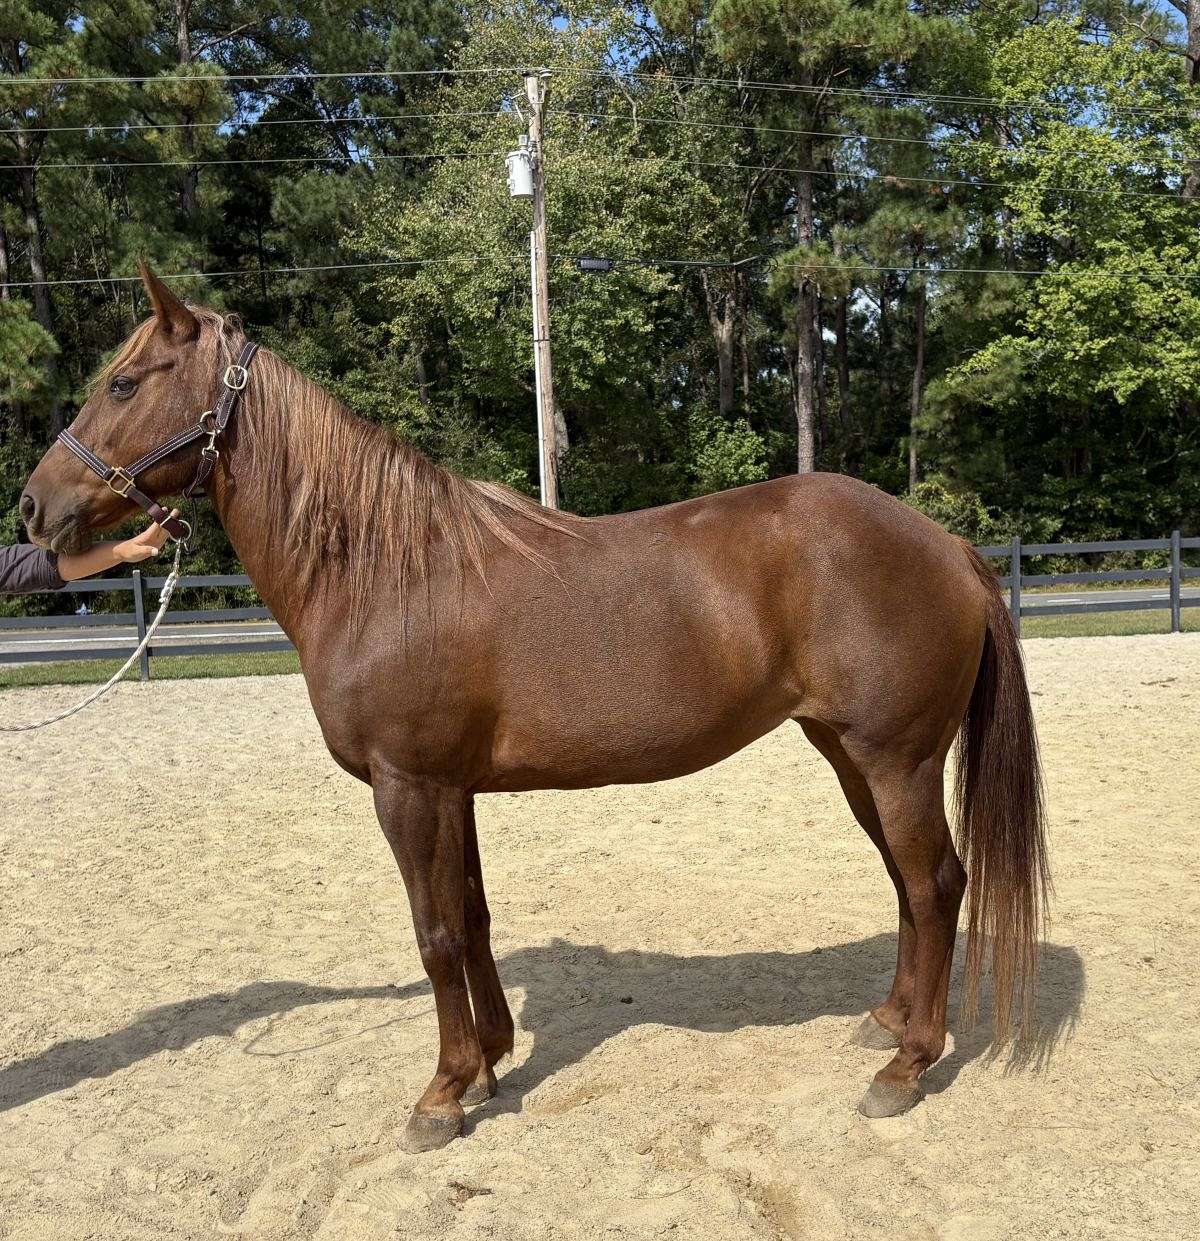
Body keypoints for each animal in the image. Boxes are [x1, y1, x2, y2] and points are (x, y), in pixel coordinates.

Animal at [19, 264, 1047, 1152]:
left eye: (123, 383)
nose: (33, 509)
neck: (389, 571)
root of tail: (946, 543)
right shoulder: (451, 789)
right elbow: (471, 918)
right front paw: (487, 1064)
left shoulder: (407, 787)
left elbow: (434, 935)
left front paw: (440, 1096)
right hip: (850, 756)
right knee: (909, 887)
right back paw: (887, 1023)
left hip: (896, 759)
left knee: (935, 882)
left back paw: (908, 1065)